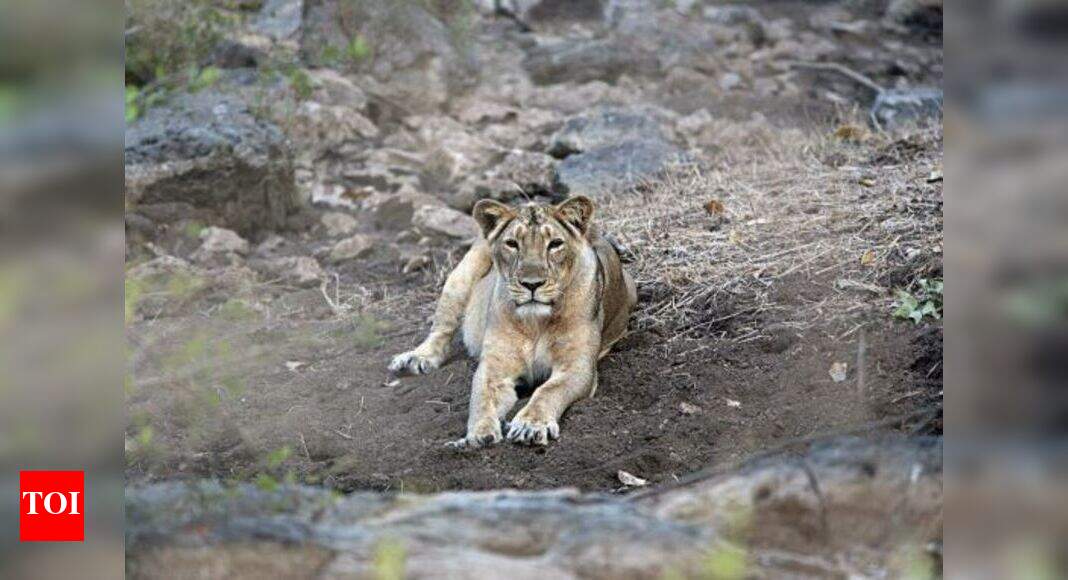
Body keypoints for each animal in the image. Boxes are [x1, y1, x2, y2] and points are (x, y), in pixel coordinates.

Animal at [389, 196, 637, 448]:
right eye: (512, 244)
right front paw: (479, 434)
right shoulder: (495, 366)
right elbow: (481, 398)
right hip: (461, 275)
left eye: (555, 244)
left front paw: (530, 425)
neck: (535, 322)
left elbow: (548, 391)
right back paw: (416, 358)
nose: (532, 284)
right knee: (441, 329)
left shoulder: (578, 367)